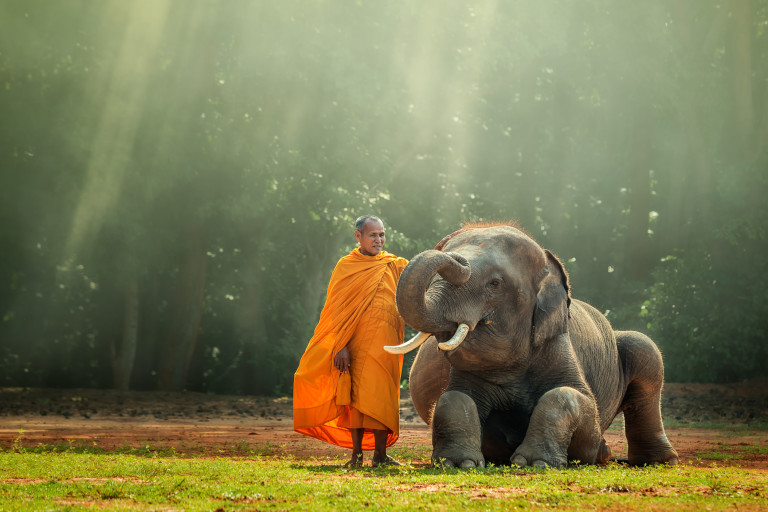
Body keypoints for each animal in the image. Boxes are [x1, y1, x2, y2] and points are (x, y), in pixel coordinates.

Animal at [384, 223, 679, 469]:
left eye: (495, 283)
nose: (454, 256)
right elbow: (453, 398)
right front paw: (458, 464)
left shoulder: (558, 346)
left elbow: (574, 398)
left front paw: (536, 463)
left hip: (636, 352)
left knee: (645, 354)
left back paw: (655, 461)